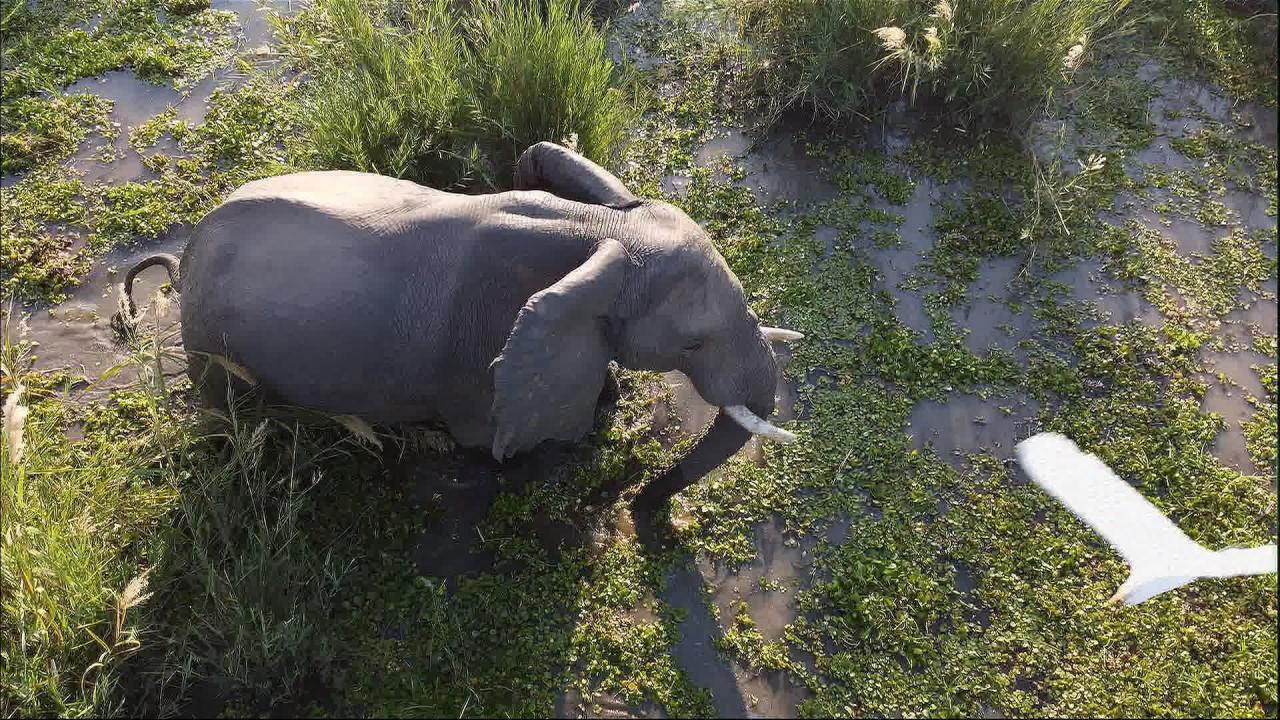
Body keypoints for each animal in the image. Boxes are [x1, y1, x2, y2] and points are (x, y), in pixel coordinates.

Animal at [117, 141, 802, 525]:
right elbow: (508, 439)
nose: (643, 507)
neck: (598, 226)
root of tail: (186, 257)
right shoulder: (480, 353)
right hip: (212, 354)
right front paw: (576, 440)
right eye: (692, 344)